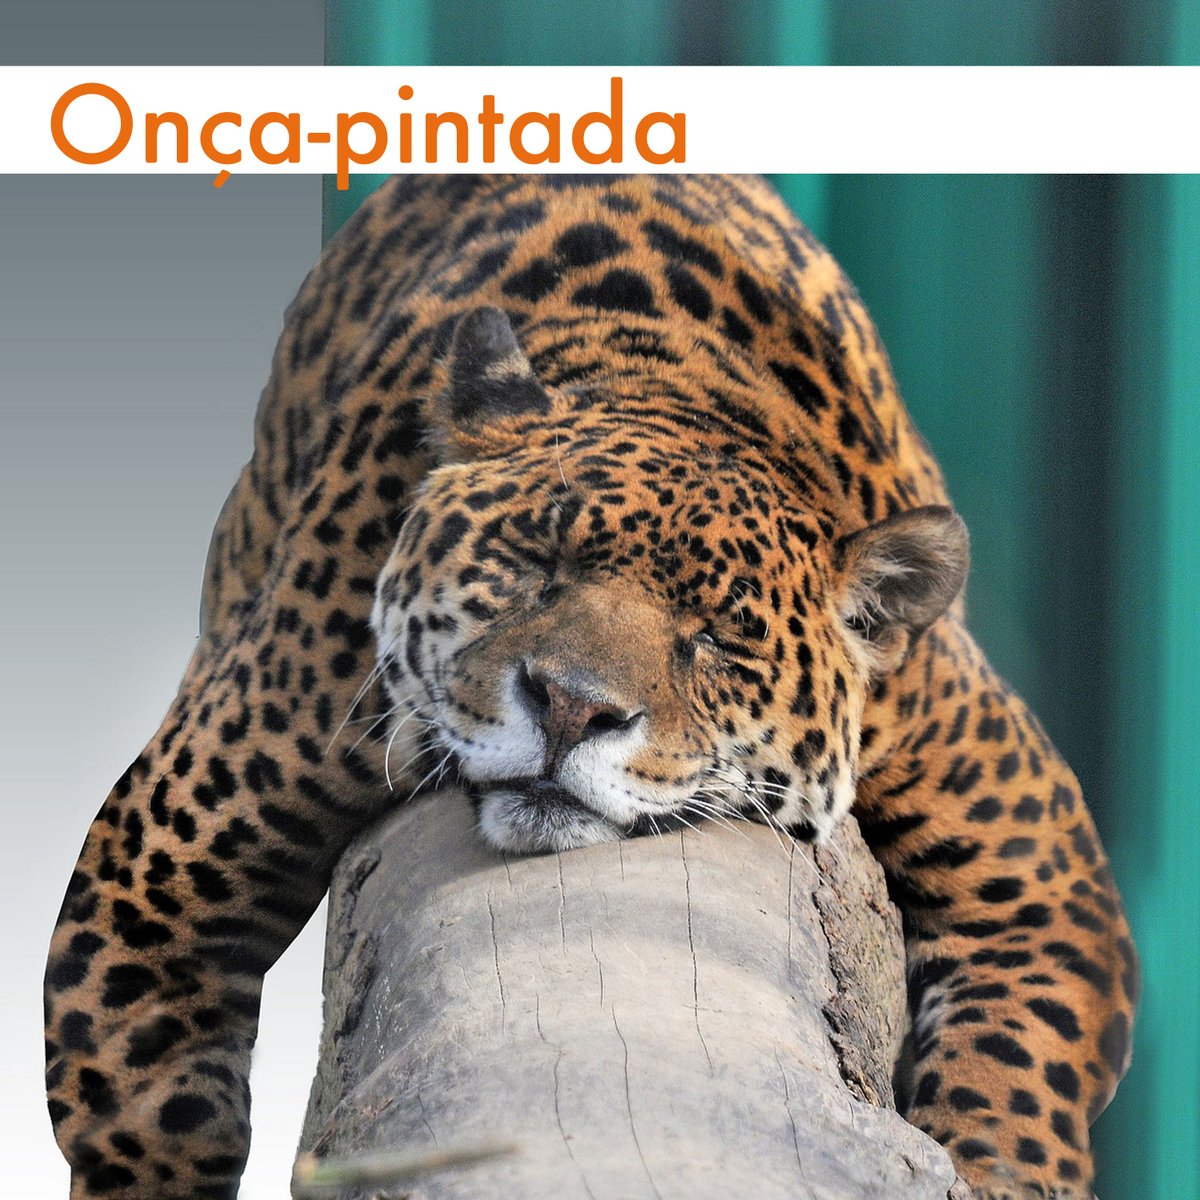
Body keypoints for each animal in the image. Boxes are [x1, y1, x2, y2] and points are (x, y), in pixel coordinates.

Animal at [44, 174, 1137, 1200]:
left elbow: (1020, 1079)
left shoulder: (1037, 866)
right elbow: (147, 1108)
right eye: (537, 561)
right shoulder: (167, 851)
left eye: (718, 640)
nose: (572, 706)